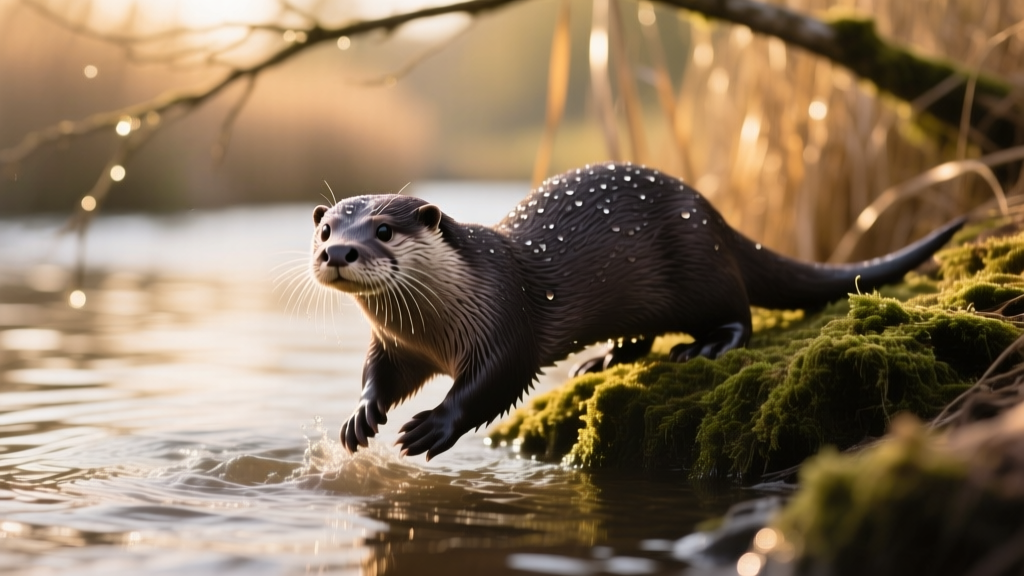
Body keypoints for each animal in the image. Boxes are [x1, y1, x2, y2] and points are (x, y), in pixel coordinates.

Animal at [310, 163, 965, 459]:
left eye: (385, 230)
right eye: (326, 227)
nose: (337, 252)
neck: (438, 327)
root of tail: (714, 215)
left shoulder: (506, 320)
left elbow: (497, 382)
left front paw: (433, 425)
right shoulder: (399, 345)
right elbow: (380, 374)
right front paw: (361, 416)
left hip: (700, 268)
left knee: (740, 312)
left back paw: (707, 345)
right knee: (644, 336)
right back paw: (604, 361)